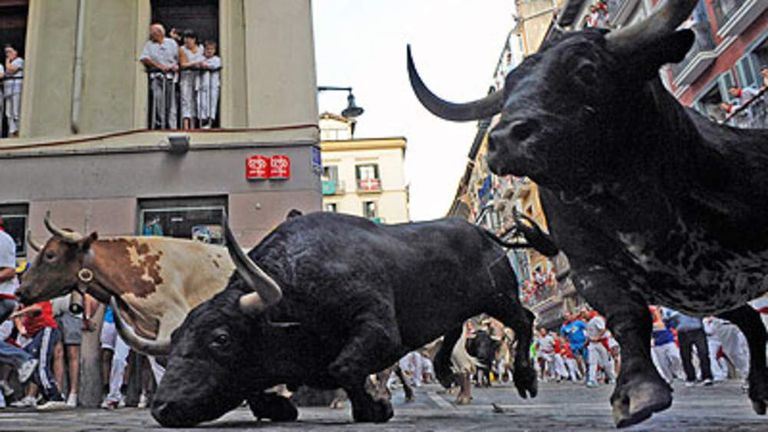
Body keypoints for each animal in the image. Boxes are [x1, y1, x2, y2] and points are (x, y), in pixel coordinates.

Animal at [150, 212, 539, 427]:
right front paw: (280, 406)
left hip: (500, 298)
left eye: (221, 338)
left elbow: (344, 367)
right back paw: (444, 369)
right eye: (177, 340)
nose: (161, 407)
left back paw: (526, 378)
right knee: (455, 328)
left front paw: (376, 407)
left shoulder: (380, 329)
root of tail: (482, 232)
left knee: (525, 320)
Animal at [407, 0, 768, 427]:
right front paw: (638, 388)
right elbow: (626, 313)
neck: (636, 205)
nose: (505, 138)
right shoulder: (589, 267)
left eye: (586, 69)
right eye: (507, 93)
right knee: (749, 321)